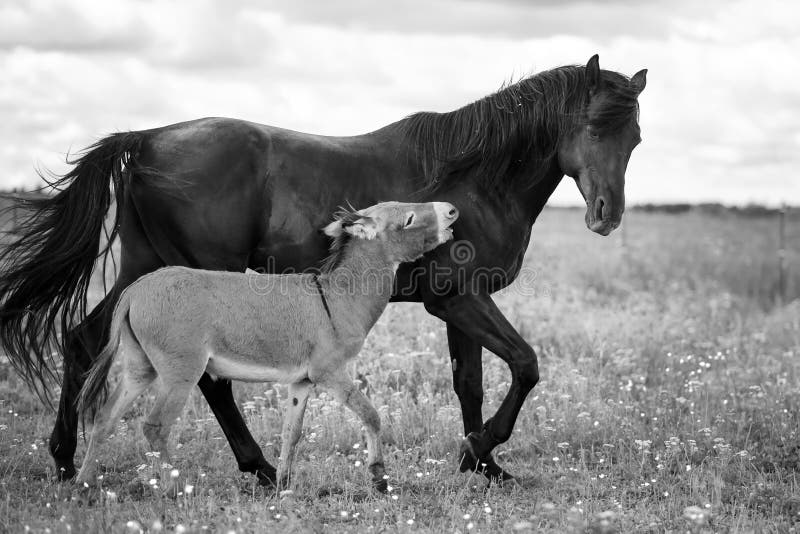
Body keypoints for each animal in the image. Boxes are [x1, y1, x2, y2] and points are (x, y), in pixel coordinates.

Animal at [76, 201, 458, 493]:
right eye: (408, 219)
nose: (452, 210)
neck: (338, 298)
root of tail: (134, 290)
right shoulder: (331, 373)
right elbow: (371, 415)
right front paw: (379, 477)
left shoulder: (301, 382)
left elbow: (292, 432)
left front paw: (284, 485)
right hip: (180, 372)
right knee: (155, 425)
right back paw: (173, 486)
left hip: (140, 367)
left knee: (105, 418)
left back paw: (84, 484)